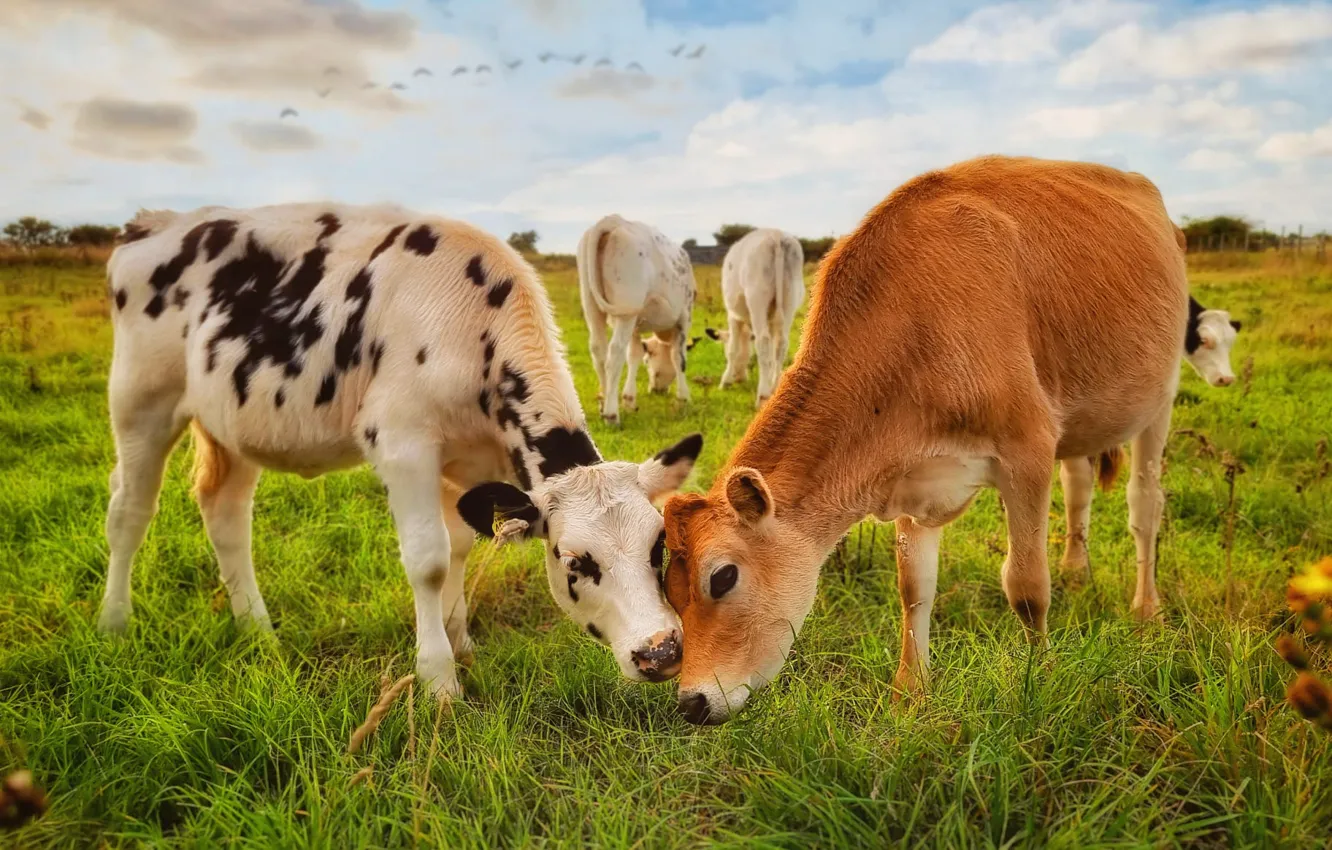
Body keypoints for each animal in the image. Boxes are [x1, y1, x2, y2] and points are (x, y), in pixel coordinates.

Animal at [576, 214, 696, 422]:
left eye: (649, 362)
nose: (657, 390)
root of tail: (614, 220)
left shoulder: (636, 328)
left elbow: (633, 356)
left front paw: (629, 399)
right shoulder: (684, 318)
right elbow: (678, 357)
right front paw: (683, 398)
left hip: (592, 306)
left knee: (599, 351)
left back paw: (603, 404)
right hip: (626, 312)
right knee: (614, 353)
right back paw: (611, 414)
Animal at [710, 228, 805, 408]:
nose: (739, 378)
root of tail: (776, 235)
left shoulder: (733, 317)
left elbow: (733, 349)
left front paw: (725, 381)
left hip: (757, 298)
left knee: (763, 342)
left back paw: (762, 396)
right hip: (789, 299)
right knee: (781, 344)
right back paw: (774, 388)